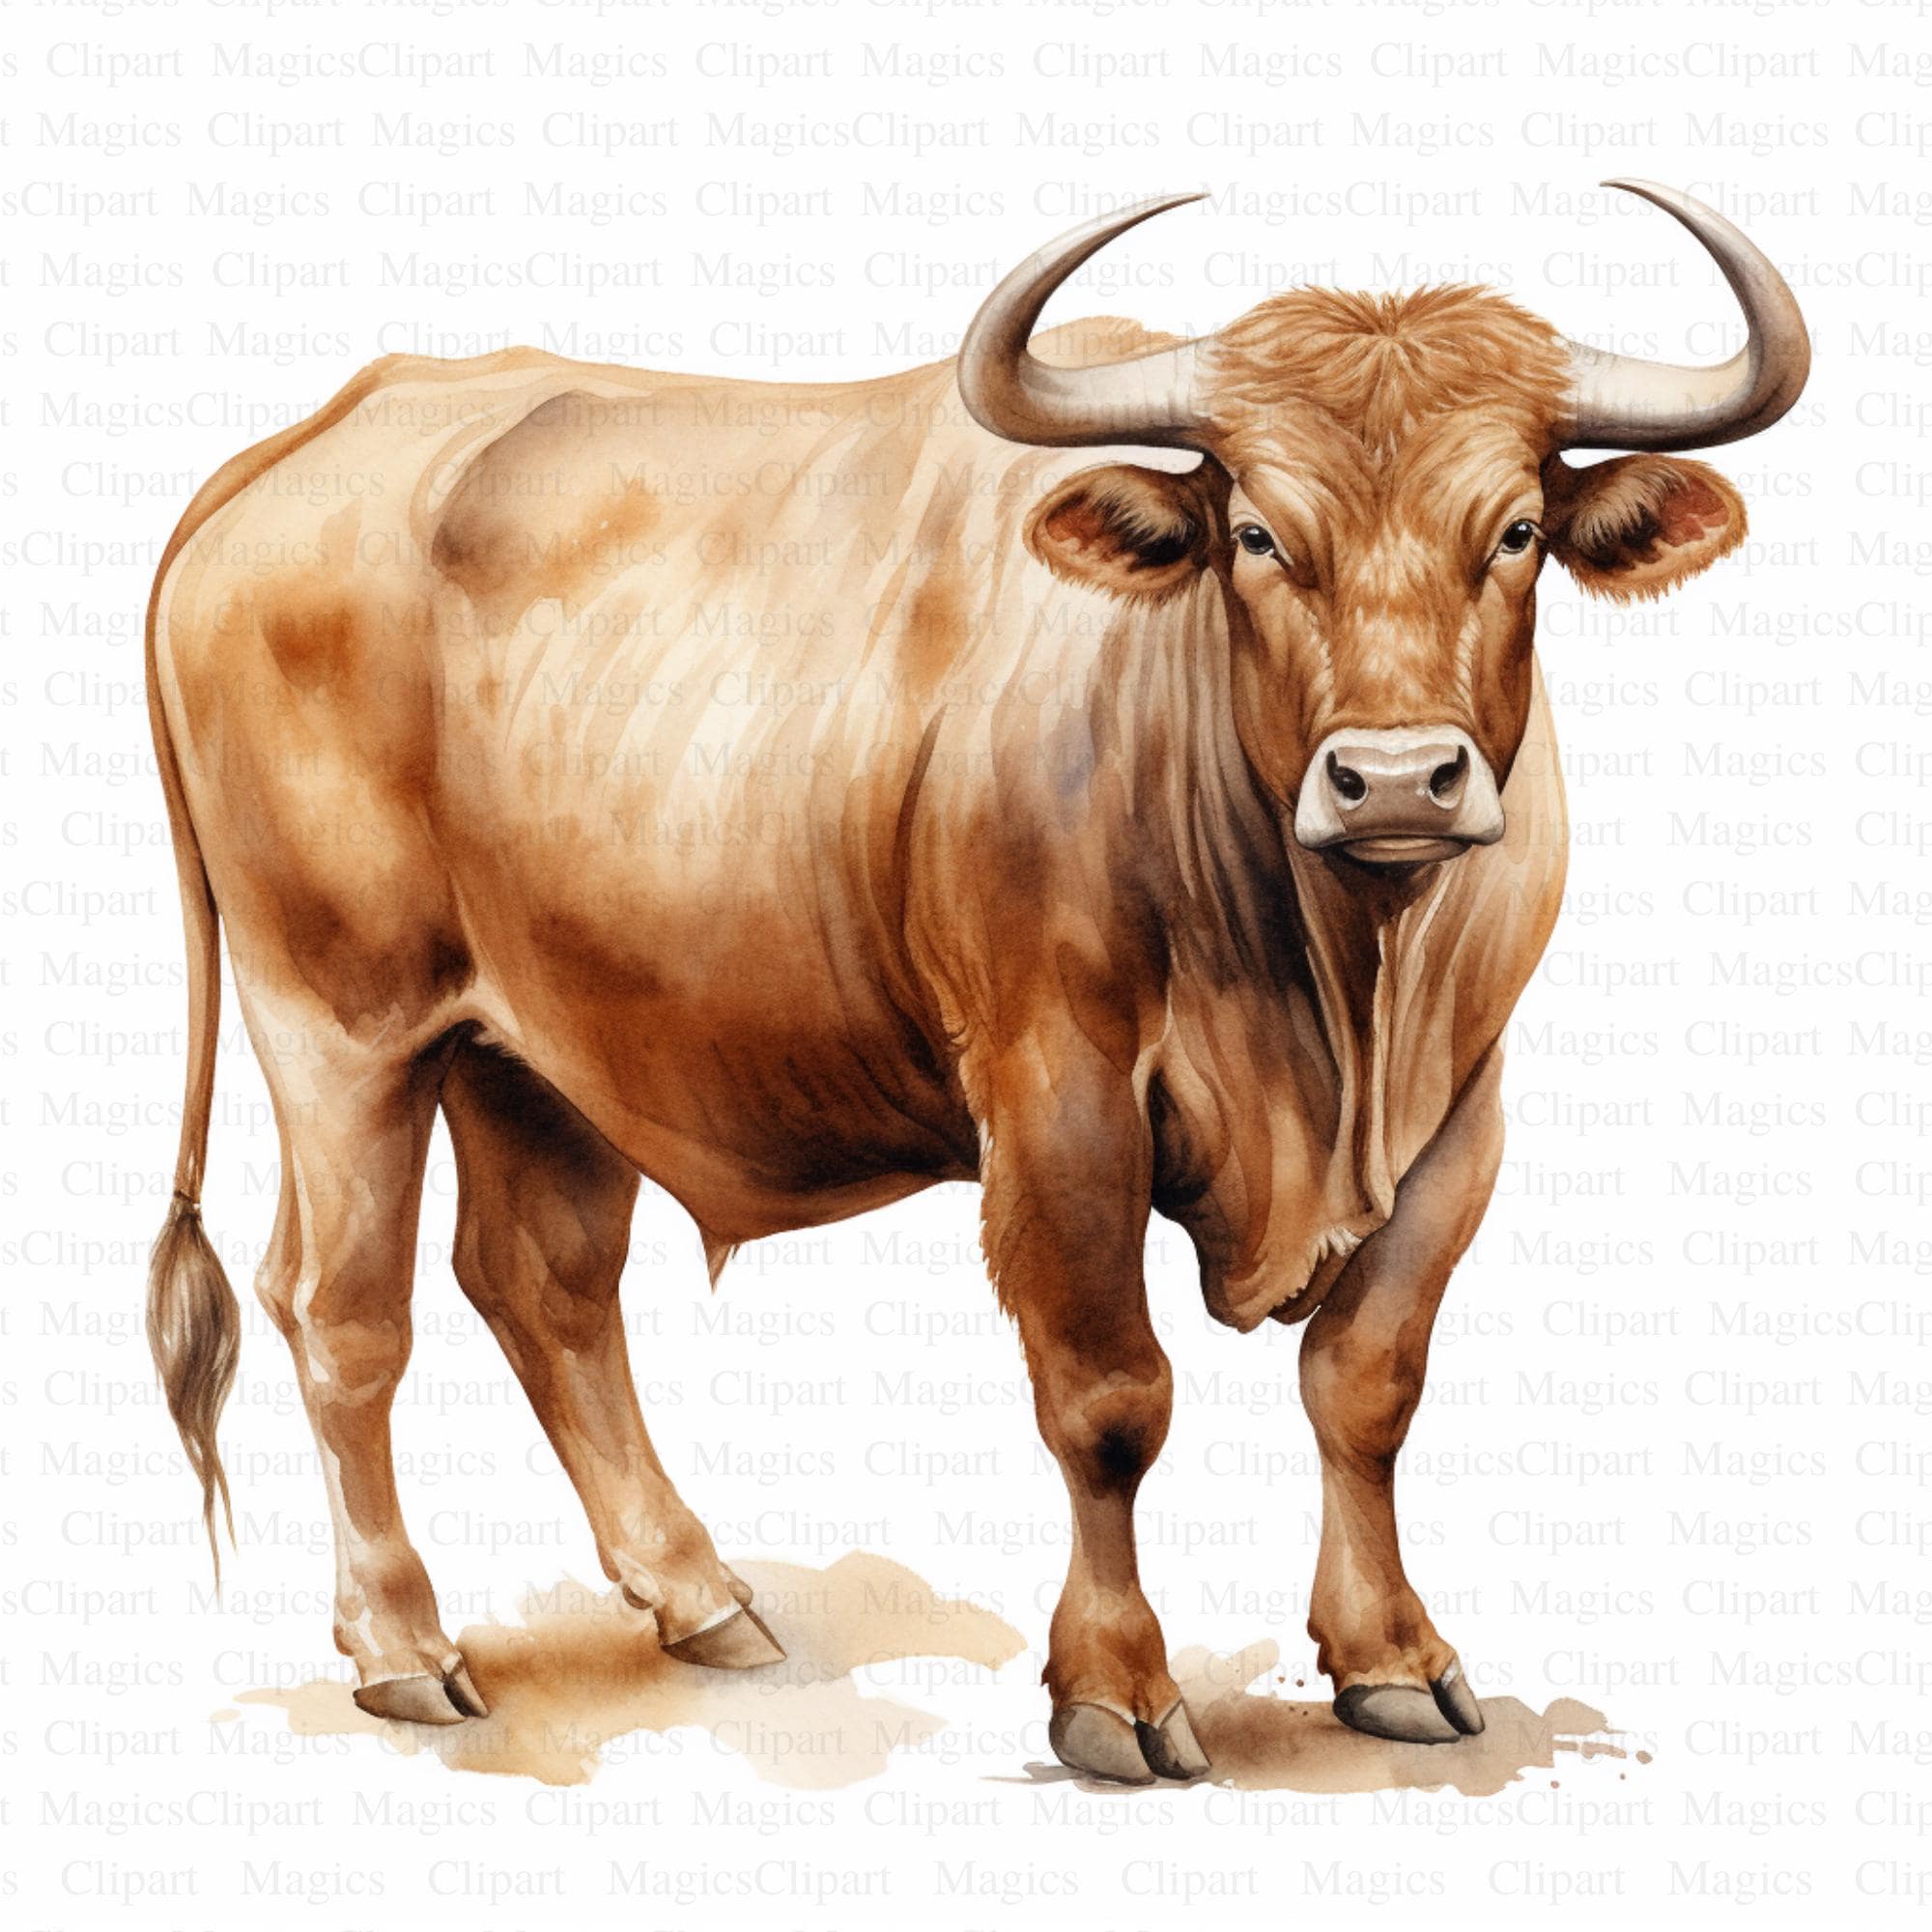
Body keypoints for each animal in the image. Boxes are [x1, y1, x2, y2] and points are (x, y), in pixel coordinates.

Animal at [146, 182, 1807, 1783]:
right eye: (1259, 535)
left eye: (1516, 529)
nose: (1397, 778)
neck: (1335, 981)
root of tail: (320, 442)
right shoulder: (1057, 1097)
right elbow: (1110, 1399)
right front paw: (1118, 1697)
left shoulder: (1457, 1115)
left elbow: (1367, 1381)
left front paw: (1393, 1661)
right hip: (342, 1026)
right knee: (343, 1312)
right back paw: (406, 1649)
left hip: (533, 1045)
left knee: (543, 1281)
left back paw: (700, 1598)